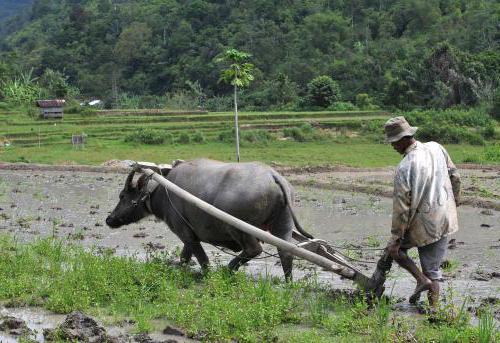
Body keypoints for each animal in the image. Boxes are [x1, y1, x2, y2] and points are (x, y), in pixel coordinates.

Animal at [105, 160, 310, 280]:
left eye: (123, 196)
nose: (109, 219)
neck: (162, 191)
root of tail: (272, 176)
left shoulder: (186, 234)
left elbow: (202, 260)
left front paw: (207, 275)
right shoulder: (189, 237)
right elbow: (184, 257)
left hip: (237, 228)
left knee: (254, 249)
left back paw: (228, 270)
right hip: (283, 225)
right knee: (286, 253)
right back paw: (288, 282)